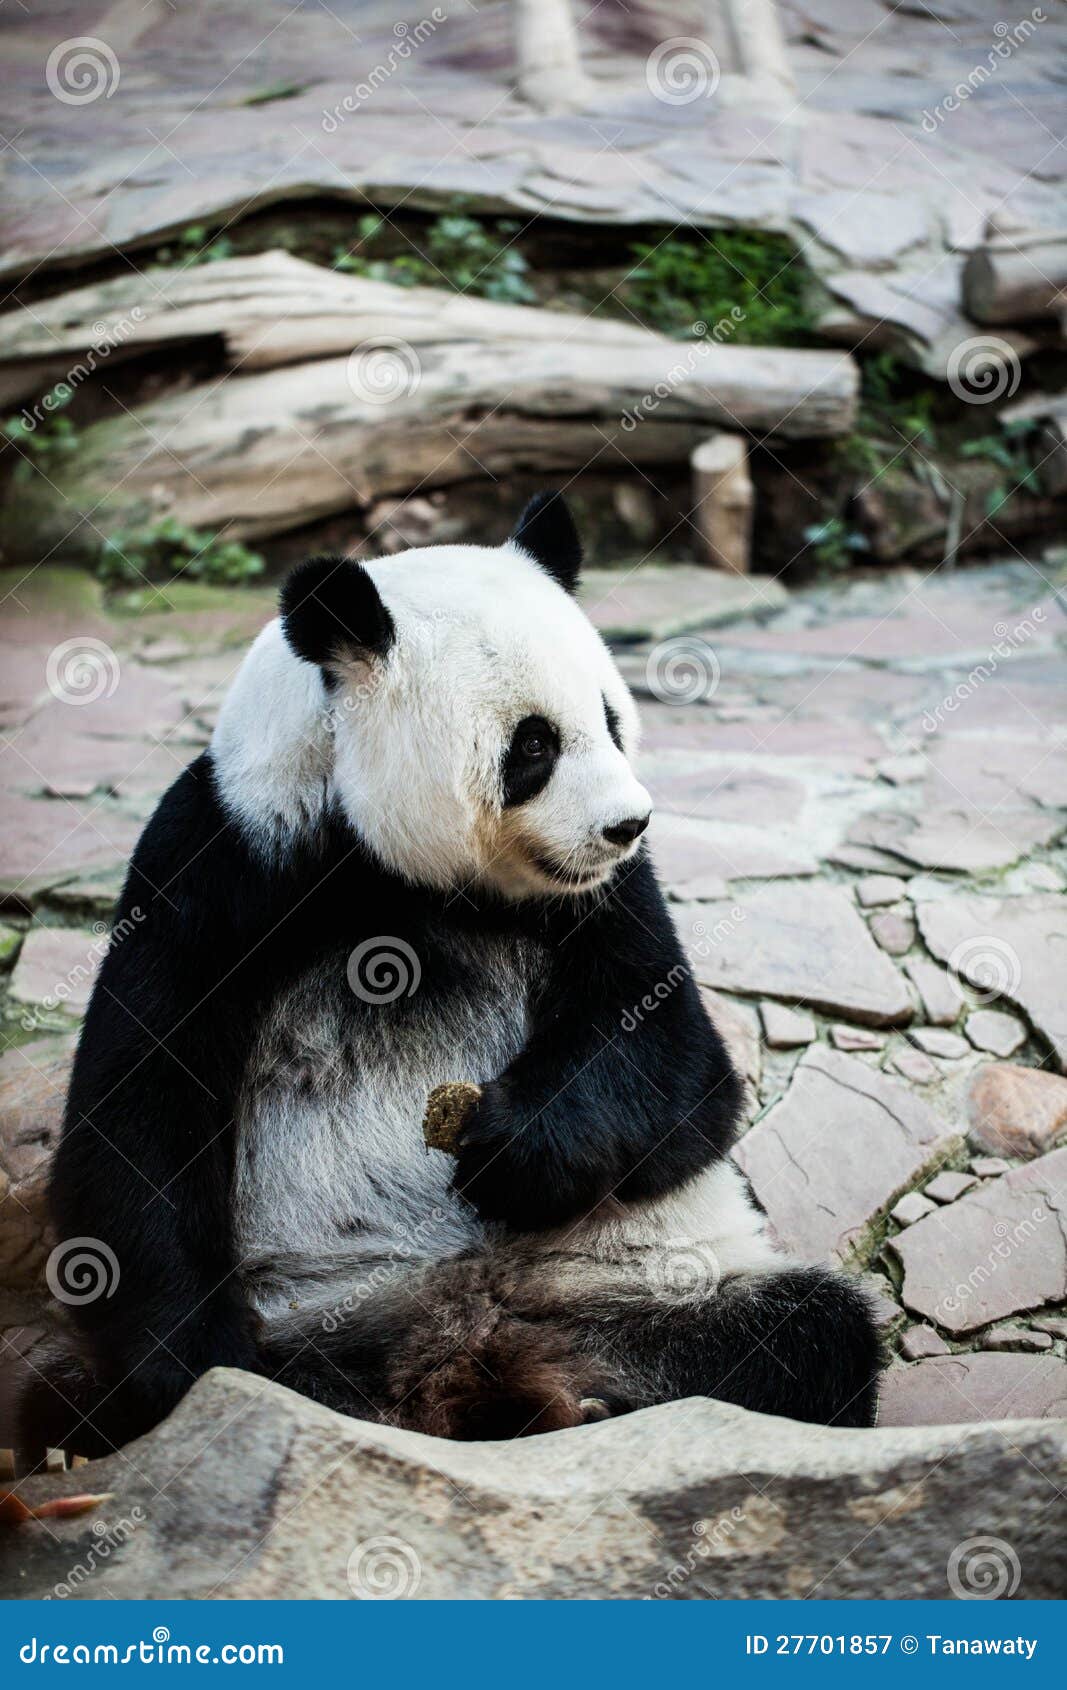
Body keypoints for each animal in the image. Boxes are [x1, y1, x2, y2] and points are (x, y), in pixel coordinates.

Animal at [23, 492, 881, 1458]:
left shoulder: (599, 901)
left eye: (611, 720)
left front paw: (514, 1151)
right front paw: (194, 1374)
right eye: (534, 746)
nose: (627, 823)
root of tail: (464, 1359)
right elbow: (139, 1110)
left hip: (632, 1282)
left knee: (807, 1334)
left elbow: (677, 1076)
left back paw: (592, 1404)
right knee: (82, 1393)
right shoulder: (222, 863)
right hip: (332, 1311)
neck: (391, 868)